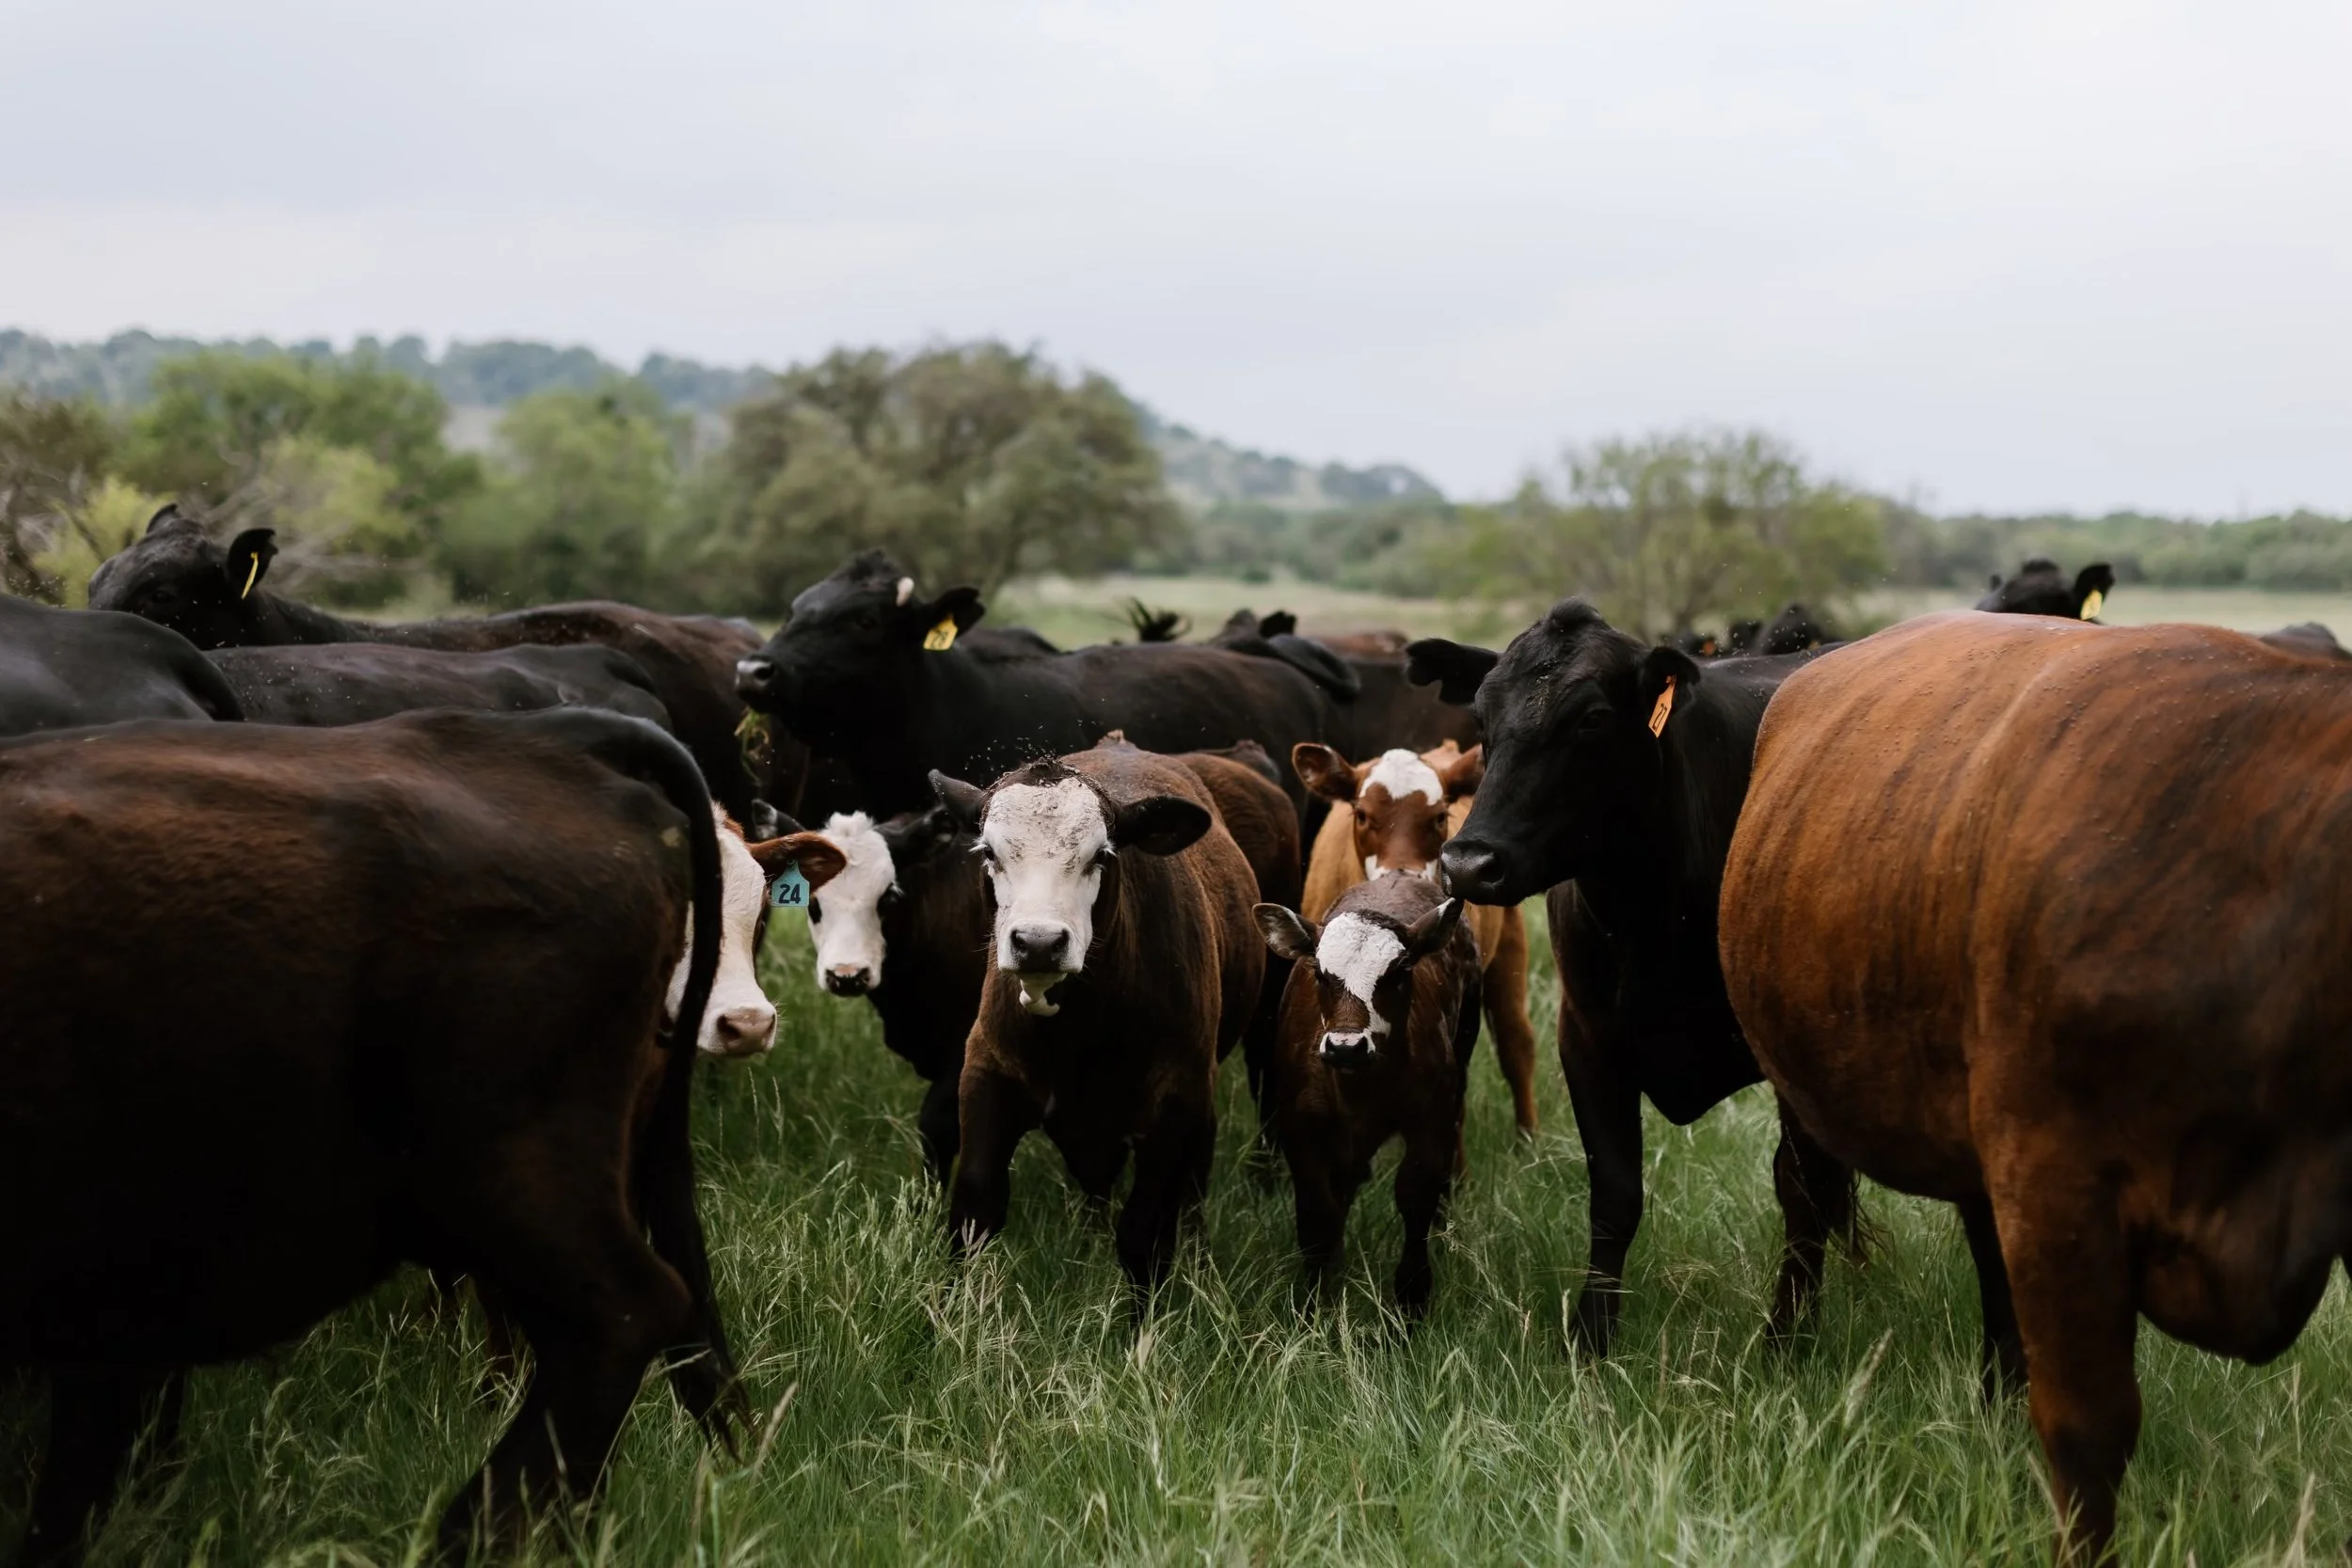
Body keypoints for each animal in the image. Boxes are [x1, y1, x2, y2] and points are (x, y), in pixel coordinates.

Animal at [930, 740, 1263, 1303]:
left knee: (1193, 1184)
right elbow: (975, 1208)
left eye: (1101, 856)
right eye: (989, 853)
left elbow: (1145, 1234)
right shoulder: (986, 1075)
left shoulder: (1176, 1099)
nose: (1039, 942)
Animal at [1256, 878, 1481, 1315]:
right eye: (1320, 973)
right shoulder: (1300, 1126)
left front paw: (1412, 1295)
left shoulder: (1431, 1119)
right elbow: (1318, 1213)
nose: (1346, 1047)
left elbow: (1416, 1195)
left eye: (1399, 971)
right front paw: (1317, 1299)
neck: (1359, 1089)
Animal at [1291, 740, 1541, 1137]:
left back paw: (1527, 1135)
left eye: (1439, 817)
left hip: (1509, 943)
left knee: (1516, 1041)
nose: (1403, 871)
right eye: (1362, 815)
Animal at [1406, 600, 1857, 1357]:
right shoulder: (1588, 1037)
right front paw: (1592, 1335)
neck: (1655, 910)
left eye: (1591, 718)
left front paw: (1787, 1337)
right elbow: (1615, 1192)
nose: (1469, 862)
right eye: (1482, 717)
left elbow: (1801, 1188)